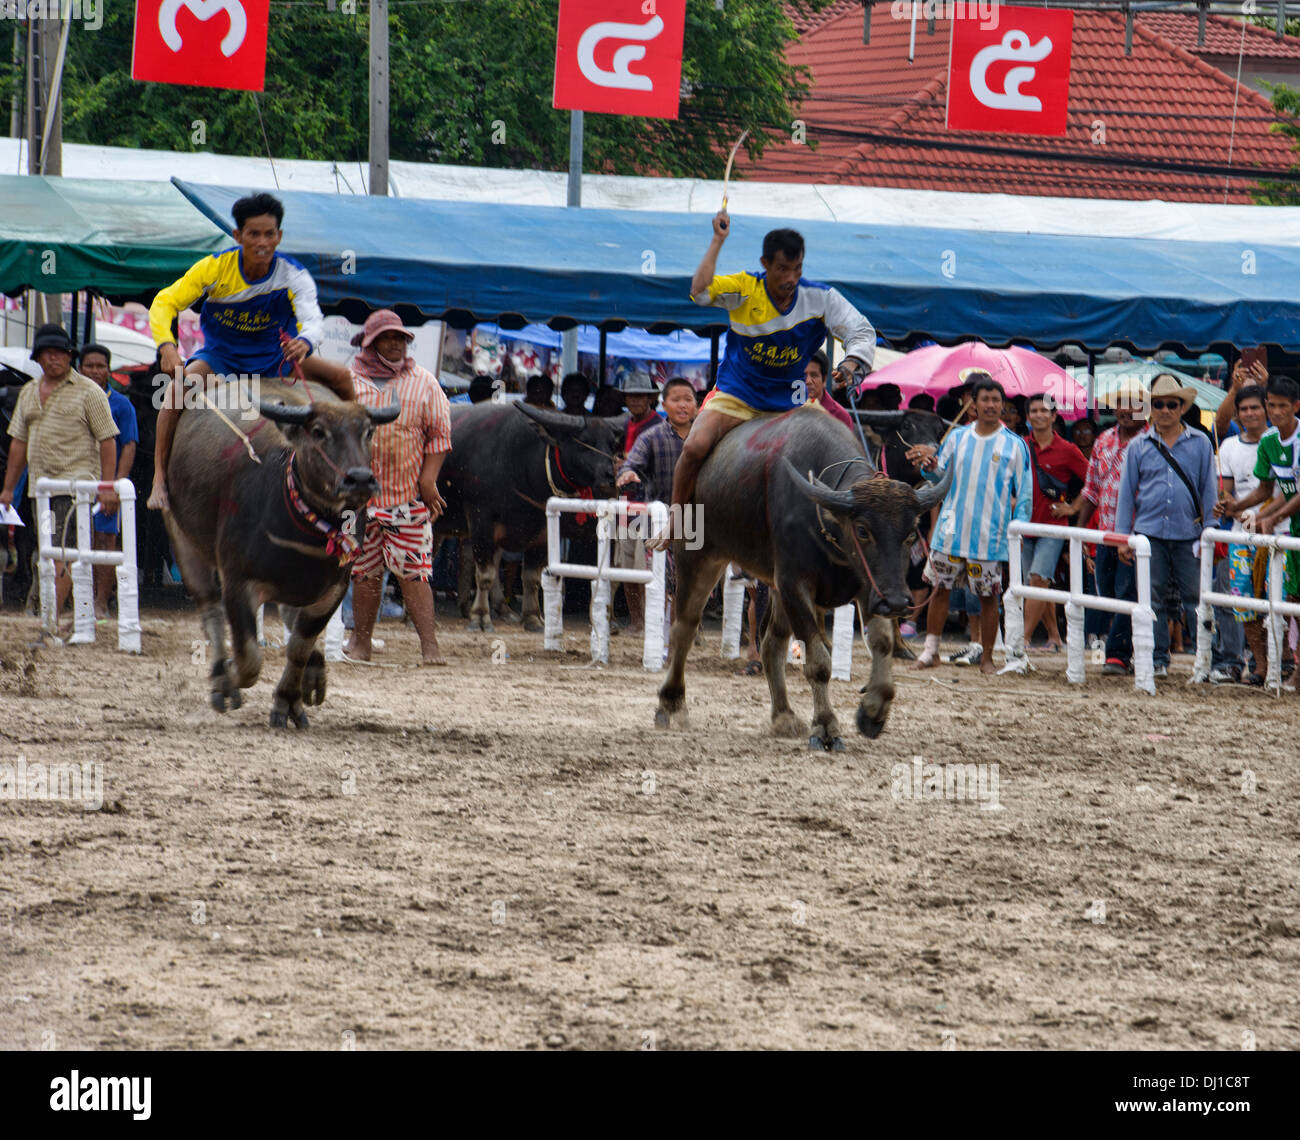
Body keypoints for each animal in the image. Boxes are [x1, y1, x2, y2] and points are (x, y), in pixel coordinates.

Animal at [163, 378, 397, 727]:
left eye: (368, 431)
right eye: (318, 431)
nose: (359, 479)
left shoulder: (332, 589)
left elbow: (298, 648)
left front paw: (287, 701)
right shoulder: (237, 582)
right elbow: (249, 659)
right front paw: (230, 676)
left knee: (290, 623)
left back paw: (311, 679)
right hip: (184, 540)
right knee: (210, 611)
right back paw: (220, 678)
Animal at [656, 405, 951, 748]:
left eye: (910, 534)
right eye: (862, 530)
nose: (897, 602)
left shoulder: (868, 586)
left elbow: (882, 643)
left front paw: (873, 710)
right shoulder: (795, 583)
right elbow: (819, 662)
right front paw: (826, 727)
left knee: (771, 643)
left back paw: (783, 715)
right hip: (699, 556)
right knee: (685, 628)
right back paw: (671, 704)